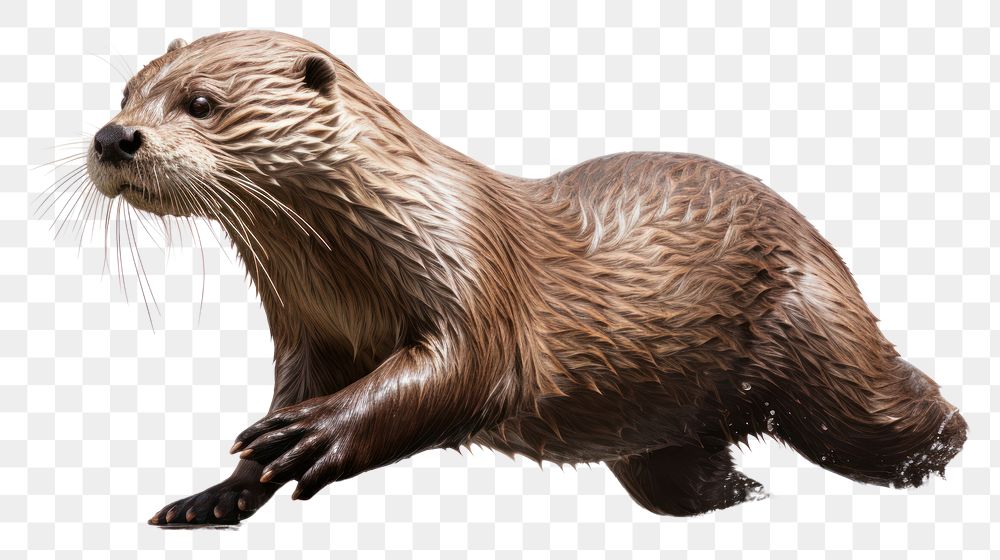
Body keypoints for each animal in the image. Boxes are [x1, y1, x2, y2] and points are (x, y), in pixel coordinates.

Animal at [80, 31, 966, 525]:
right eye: (124, 92)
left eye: (200, 102)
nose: (113, 137)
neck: (347, 274)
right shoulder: (305, 333)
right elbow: (284, 402)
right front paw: (219, 492)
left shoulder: (470, 268)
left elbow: (466, 371)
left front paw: (315, 435)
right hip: (664, 432)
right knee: (682, 477)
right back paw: (739, 494)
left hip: (819, 338)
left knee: (895, 412)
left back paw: (938, 451)